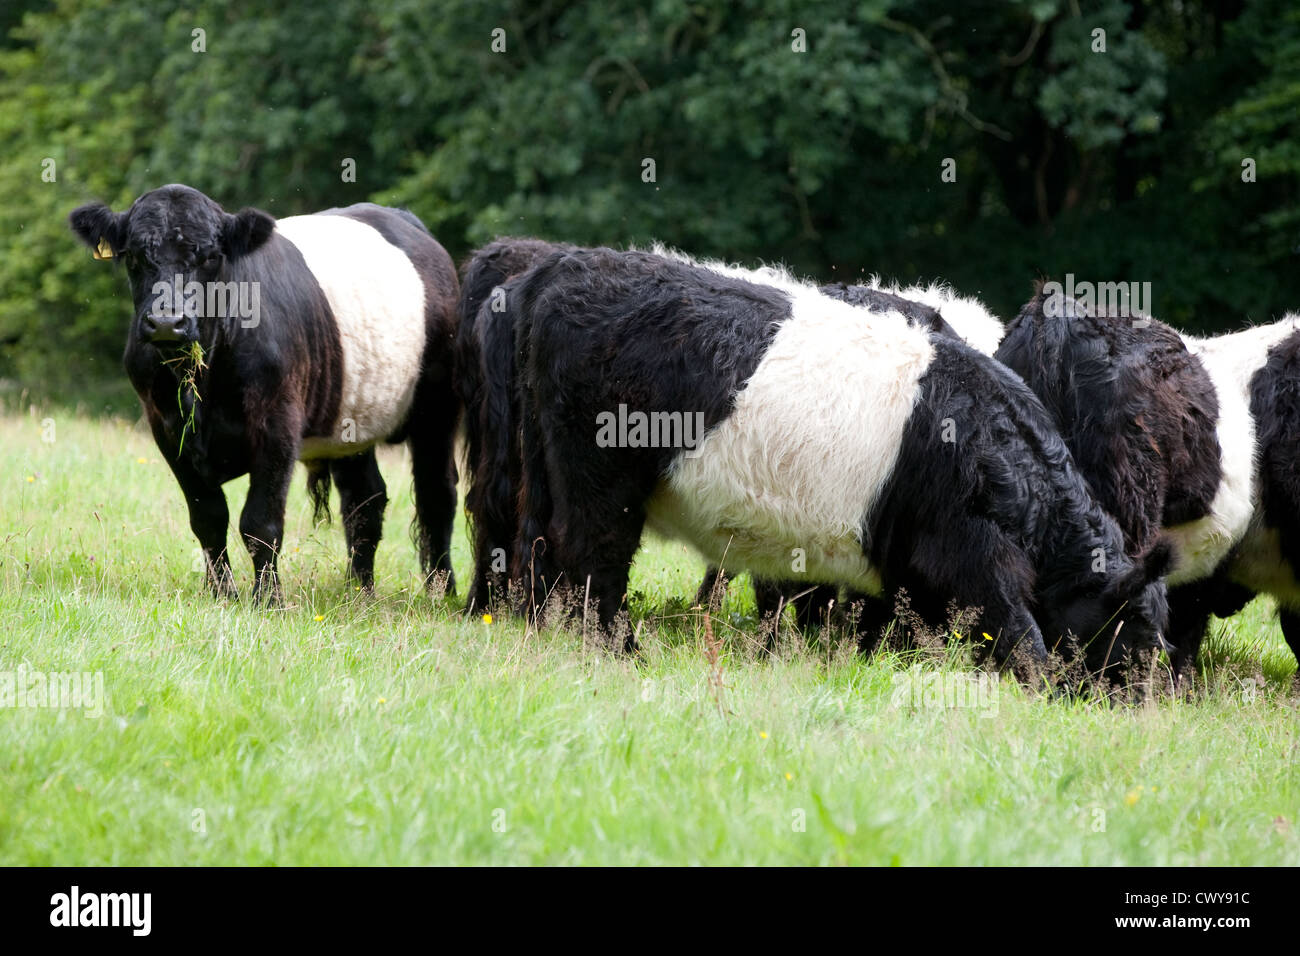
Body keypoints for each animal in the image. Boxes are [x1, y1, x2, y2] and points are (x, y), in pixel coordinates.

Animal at [68, 184, 460, 603]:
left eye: (210, 256)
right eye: (135, 256)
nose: (166, 322)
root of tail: (403, 219)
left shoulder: (277, 421)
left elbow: (260, 522)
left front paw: (268, 599)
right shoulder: (167, 429)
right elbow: (208, 517)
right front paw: (222, 594)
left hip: (437, 408)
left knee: (437, 493)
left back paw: (442, 590)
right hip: (353, 421)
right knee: (365, 500)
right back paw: (360, 591)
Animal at [504, 247, 1172, 682]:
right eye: (1130, 630)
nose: (1151, 701)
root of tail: (566, 270)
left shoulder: (904, 565)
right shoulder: (971, 552)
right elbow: (1018, 631)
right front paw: (1041, 688)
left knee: (539, 553)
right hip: (601, 479)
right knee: (594, 560)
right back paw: (621, 653)